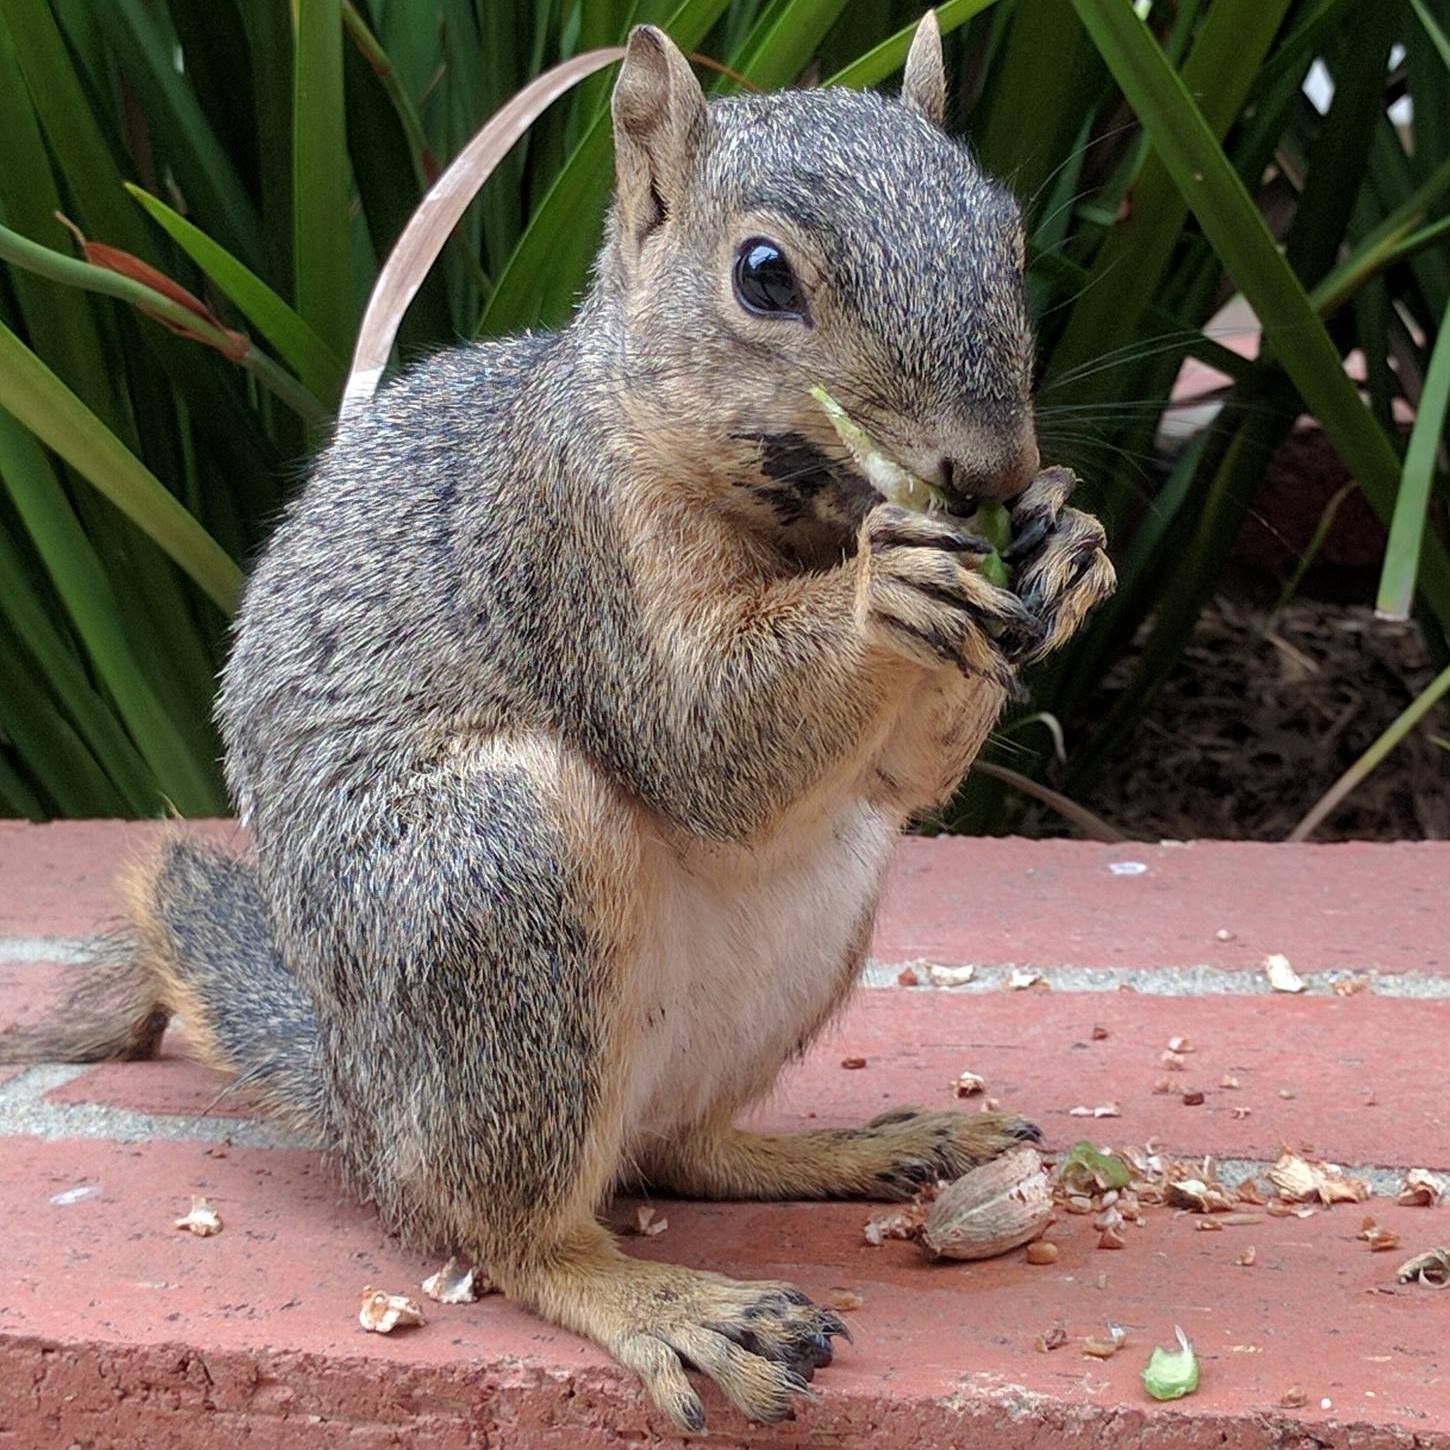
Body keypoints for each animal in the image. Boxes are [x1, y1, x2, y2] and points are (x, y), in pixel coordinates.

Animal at [4, 12, 1114, 1432]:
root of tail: (361, 1111)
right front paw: (886, 591)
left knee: (681, 1153)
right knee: (514, 1232)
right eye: (763, 275)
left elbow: (903, 775)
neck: (794, 524)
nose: (993, 472)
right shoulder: (573, 542)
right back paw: (670, 1305)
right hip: (500, 889)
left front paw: (1068, 547)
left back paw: (852, 1145)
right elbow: (699, 736)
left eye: (1010, 237)